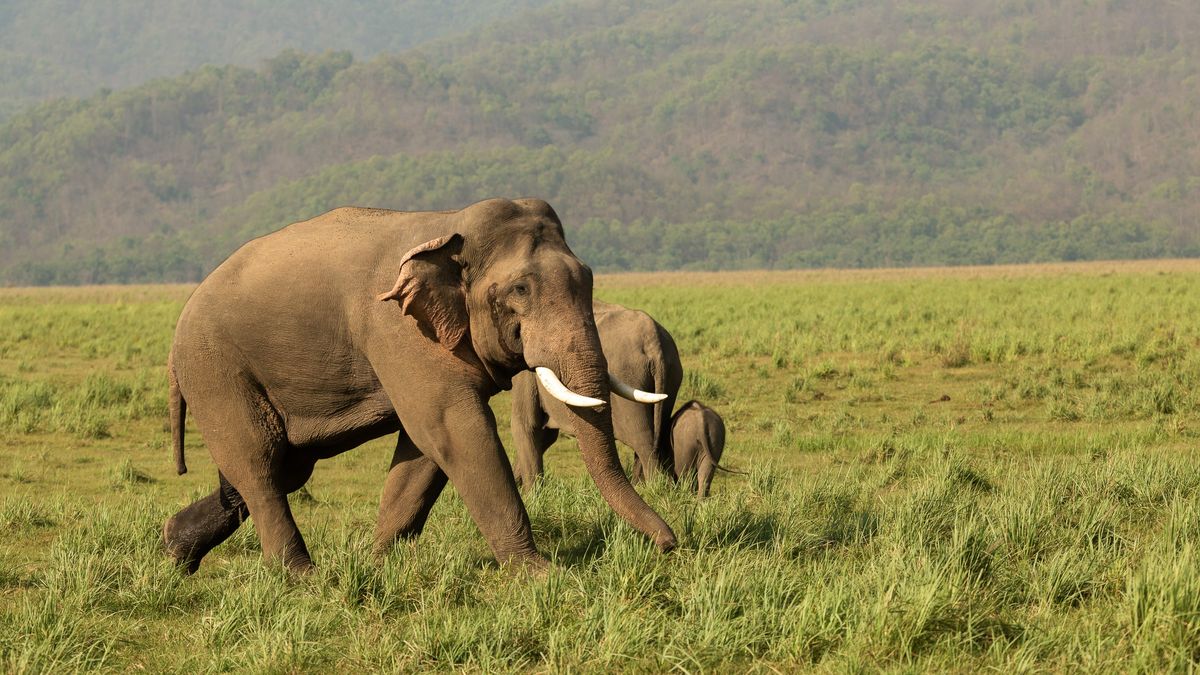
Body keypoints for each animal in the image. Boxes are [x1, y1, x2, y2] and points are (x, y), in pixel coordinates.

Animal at [511, 300, 683, 488]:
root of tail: (654, 341)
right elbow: (544, 434)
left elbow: (526, 425)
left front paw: (531, 492)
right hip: (671, 374)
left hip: (629, 378)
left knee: (643, 442)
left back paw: (654, 487)